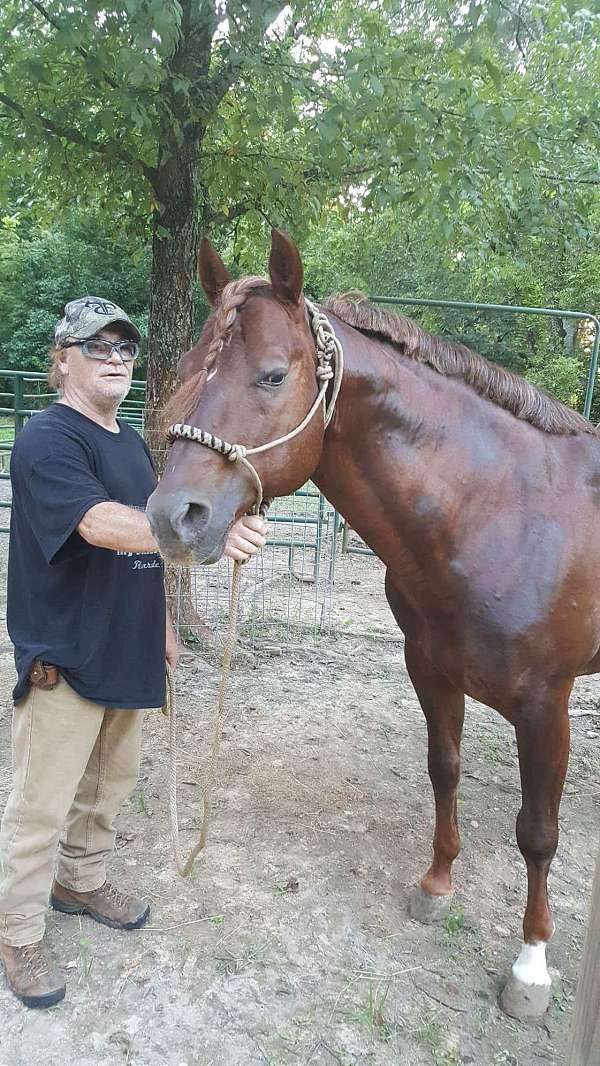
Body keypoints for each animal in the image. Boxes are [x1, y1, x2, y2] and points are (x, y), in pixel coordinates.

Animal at [147, 229, 600, 1020]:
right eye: (187, 368)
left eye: (271, 376)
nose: (174, 518)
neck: (502, 513)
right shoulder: (430, 669)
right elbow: (444, 769)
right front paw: (436, 885)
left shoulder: (547, 705)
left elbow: (538, 833)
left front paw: (531, 968)